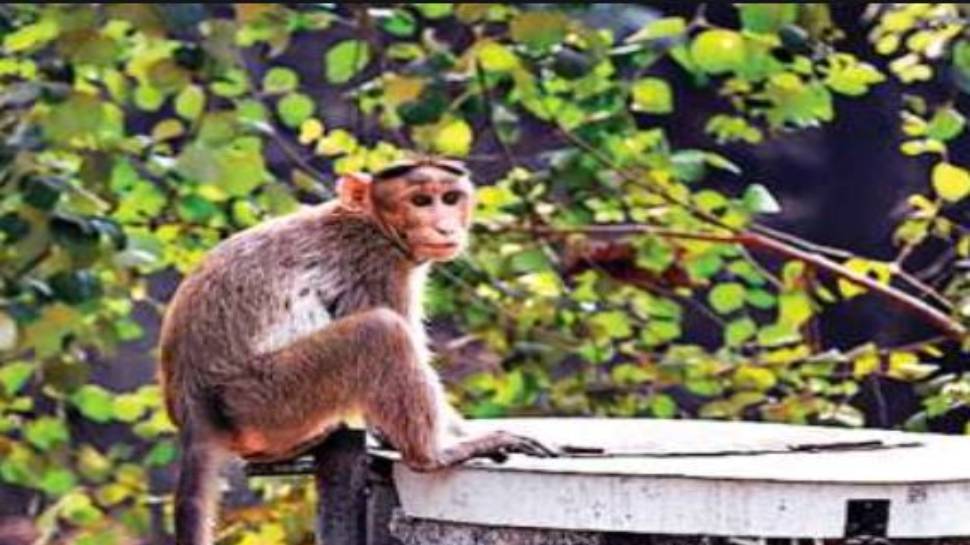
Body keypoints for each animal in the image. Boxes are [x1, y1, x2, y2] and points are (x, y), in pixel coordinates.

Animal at [157, 156, 555, 545]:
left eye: (450, 198)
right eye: (420, 201)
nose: (445, 228)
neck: (371, 221)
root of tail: (195, 411)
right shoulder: (379, 266)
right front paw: (455, 439)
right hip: (265, 398)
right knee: (380, 331)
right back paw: (431, 456)